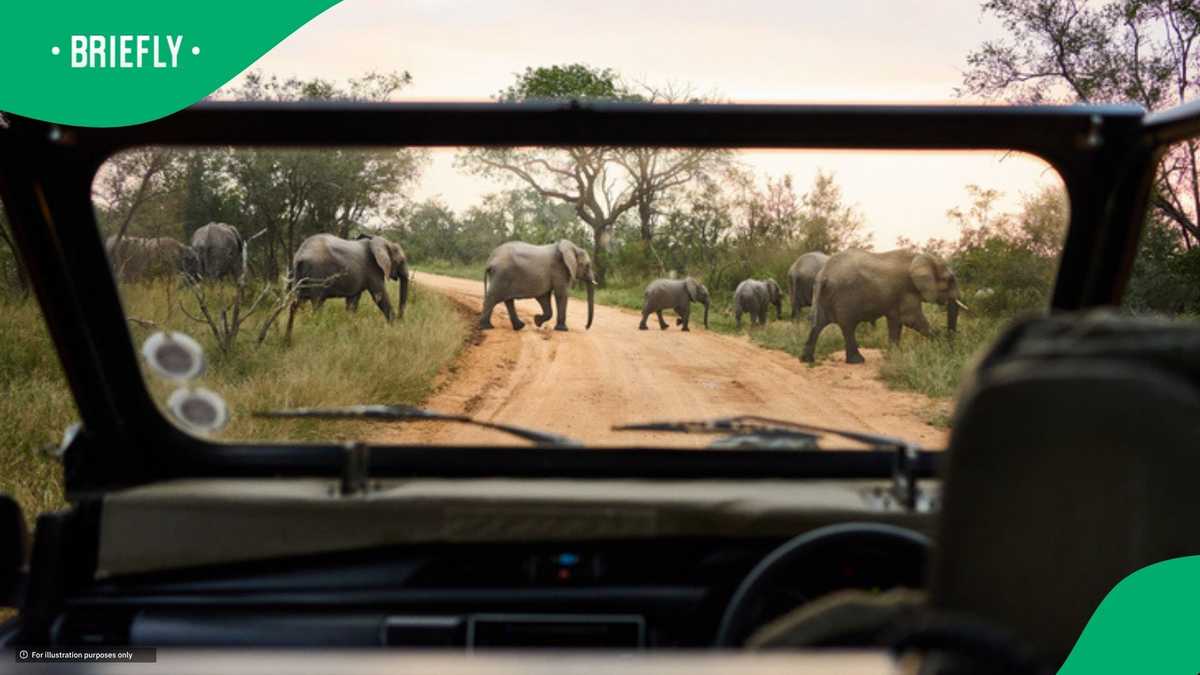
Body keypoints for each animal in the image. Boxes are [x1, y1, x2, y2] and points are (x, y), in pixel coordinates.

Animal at [801, 249, 967, 364]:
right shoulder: (907, 291)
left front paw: (894, 357)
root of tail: (824, 273)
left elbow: (896, 322)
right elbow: (911, 319)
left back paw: (806, 360)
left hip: (824, 295)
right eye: (950, 280)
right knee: (848, 327)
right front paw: (943, 344)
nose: (953, 346)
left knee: (818, 325)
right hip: (844, 297)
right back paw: (857, 361)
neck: (921, 257)